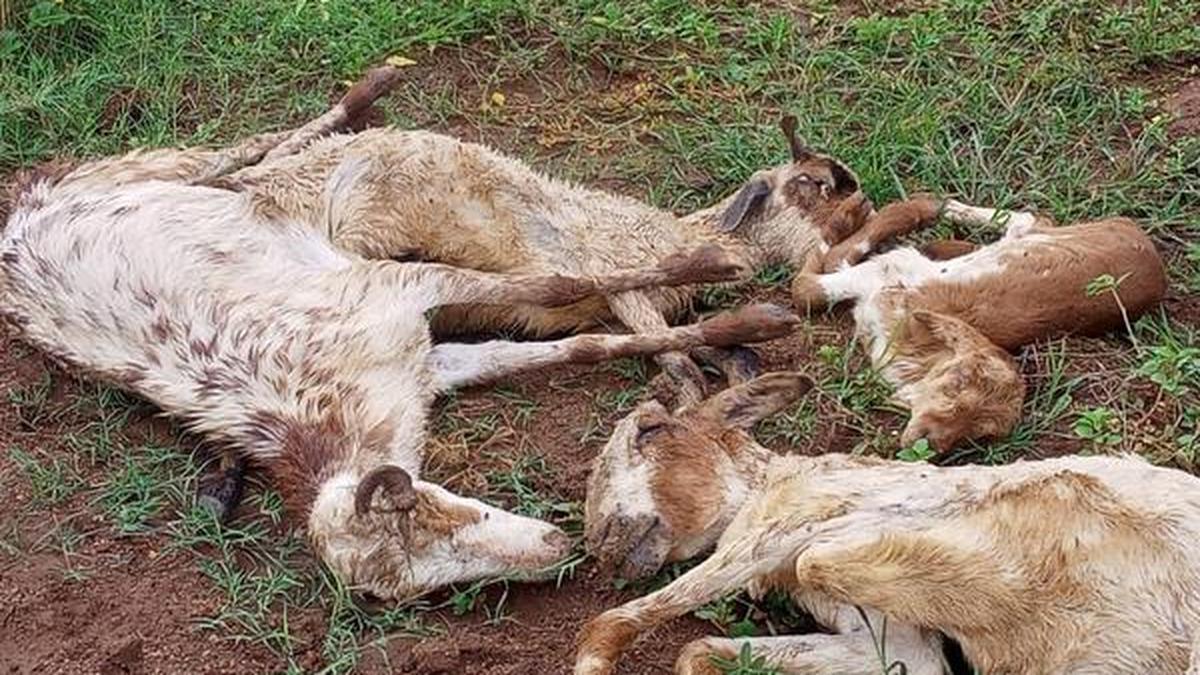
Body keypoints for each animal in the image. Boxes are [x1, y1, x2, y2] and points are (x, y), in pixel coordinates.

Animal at [0, 134, 805, 601]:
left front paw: (734, 295)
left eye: (435, 505)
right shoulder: (431, 358)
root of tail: (14, 229)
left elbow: (561, 289)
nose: (555, 550)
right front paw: (732, 326)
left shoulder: (400, 288)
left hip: (131, 170)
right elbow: (569, 340)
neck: (323, 407)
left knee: (233, 154)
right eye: (427, 585)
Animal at [575, 378, 1200, 674]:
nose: (602, 545)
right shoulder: (896, 644)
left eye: (649, 429)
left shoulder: (782, 526)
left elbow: (616, 622)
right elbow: (697, 650)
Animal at [790, 197, 1167, 451]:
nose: (925, 445)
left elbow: (816, 278)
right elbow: (811, 281)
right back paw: (936, 209)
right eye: (956, 382)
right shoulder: (888, 273)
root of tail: (1155, 263)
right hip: (1046, 235)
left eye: (978, 435)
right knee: (1030, 217)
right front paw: (854, 216)